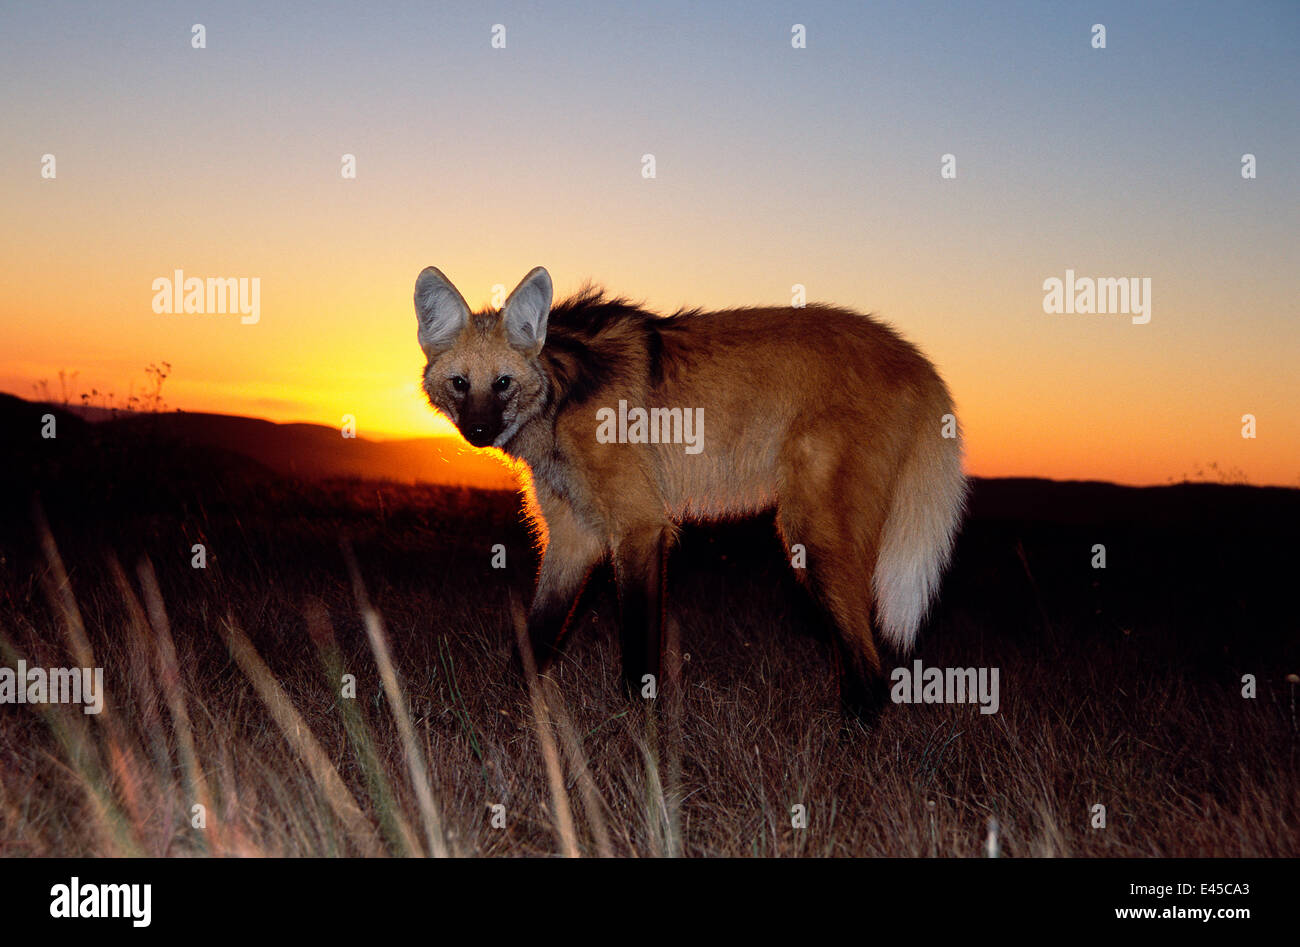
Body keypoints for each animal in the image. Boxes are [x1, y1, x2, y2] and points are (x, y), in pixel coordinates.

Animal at [415, 265, 967, 714]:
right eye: (461, 384)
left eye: (502, 383)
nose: (479, 432)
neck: (563, 394)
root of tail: (913, 355)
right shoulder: (574, 537)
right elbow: (534, 639)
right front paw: (507, 712)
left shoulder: (640, 526)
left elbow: (638, 650)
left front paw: (638, 733)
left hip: (810, 533)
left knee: (871, 673)